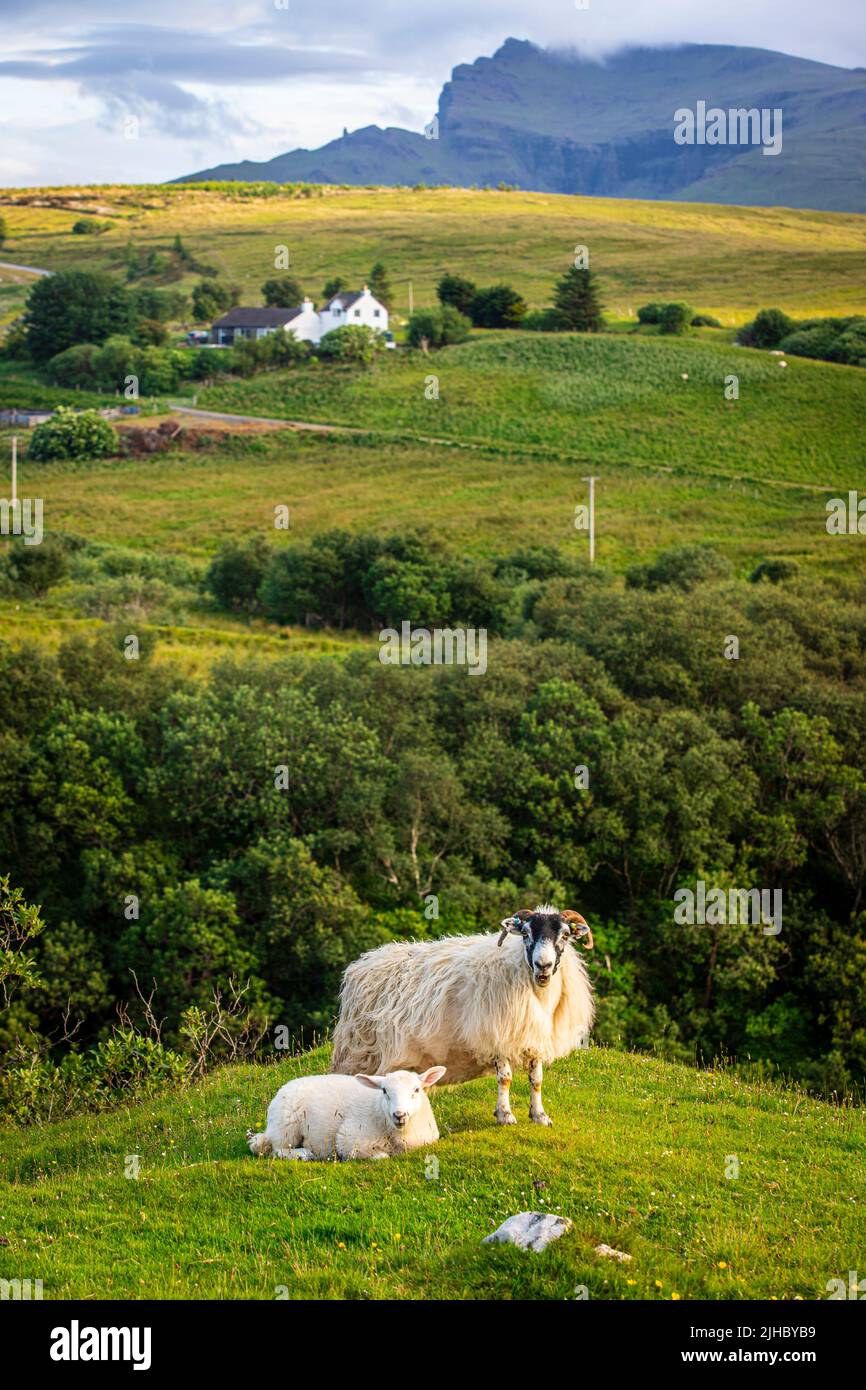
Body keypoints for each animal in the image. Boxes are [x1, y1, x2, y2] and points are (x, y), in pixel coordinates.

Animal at [247, 1065, 447, 1161]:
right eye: (384, 1091)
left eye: (416, 1090)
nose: (399, 1115)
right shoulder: (348, 1139)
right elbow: (381, 1156)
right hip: (286, 1126)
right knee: (277, 1150)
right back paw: (304, 1154)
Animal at [330, 905, 594, 1127]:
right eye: (526, 934)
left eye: (565, 935)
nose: (543, 965)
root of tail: (362, 963)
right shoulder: (495, 1033)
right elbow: (505, 1078)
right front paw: (505, 1115)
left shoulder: (535, 1034)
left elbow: (536, 1079)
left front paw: (539, 1116)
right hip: (361, 1051)